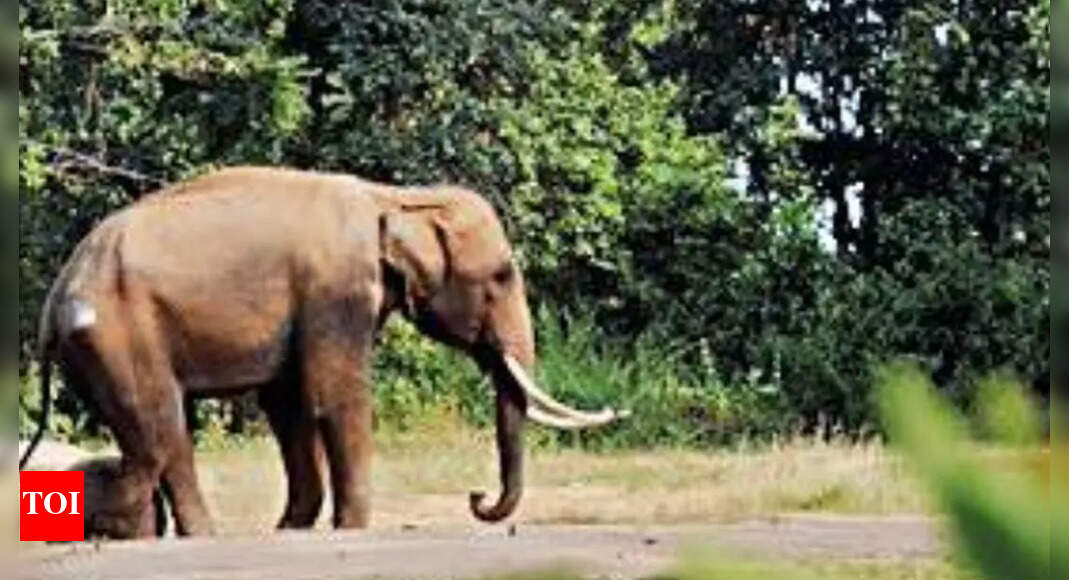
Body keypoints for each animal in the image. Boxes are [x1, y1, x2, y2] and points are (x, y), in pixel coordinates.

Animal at [19, 166, 627, 539]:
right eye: (501, 276)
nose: (477, 499)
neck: (394, 196)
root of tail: (54, 301)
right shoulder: (336, 289)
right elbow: (335, 394)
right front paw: (352, 527)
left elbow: (288, 403)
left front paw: (293, 527)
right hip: (120, 335)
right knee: (161, 423)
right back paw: (193, 534)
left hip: (100, 348)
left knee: (142, 434)